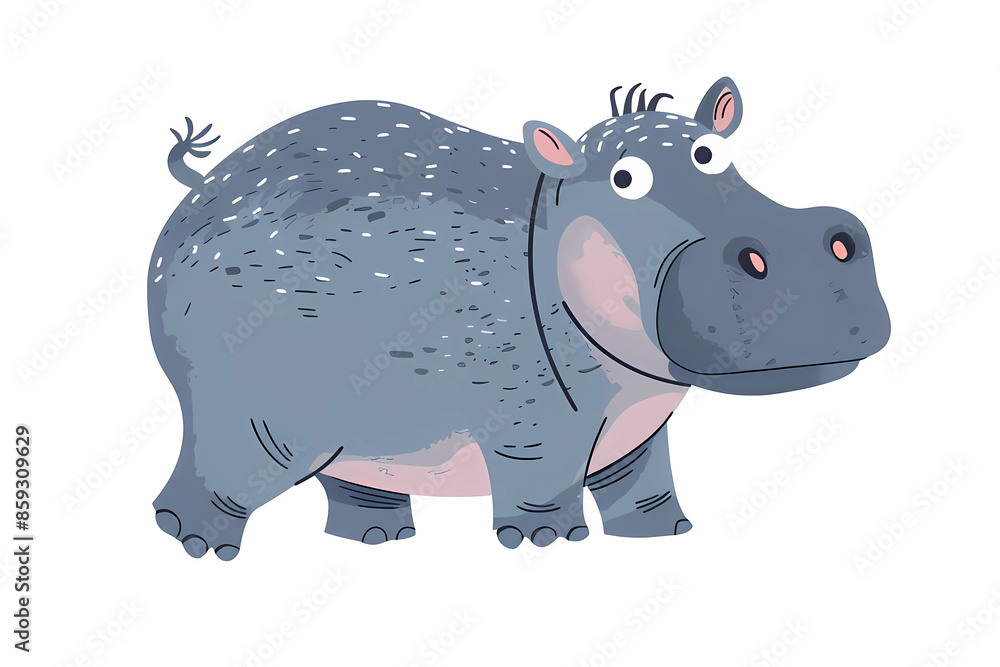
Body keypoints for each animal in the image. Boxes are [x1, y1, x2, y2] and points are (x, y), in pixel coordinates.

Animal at [148, 77, 890, 560]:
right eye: (625, 178)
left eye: (713, 152)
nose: (808, 247)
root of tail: (205, 183)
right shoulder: (532, 417)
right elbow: (542, 476)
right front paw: (548, 543)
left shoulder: (639, 424)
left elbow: (644, 482)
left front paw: (663, 537)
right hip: (250, 415)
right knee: (220, 472)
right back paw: (199, 546)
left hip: (353, 430)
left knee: (356, 479)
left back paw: (379, 541)